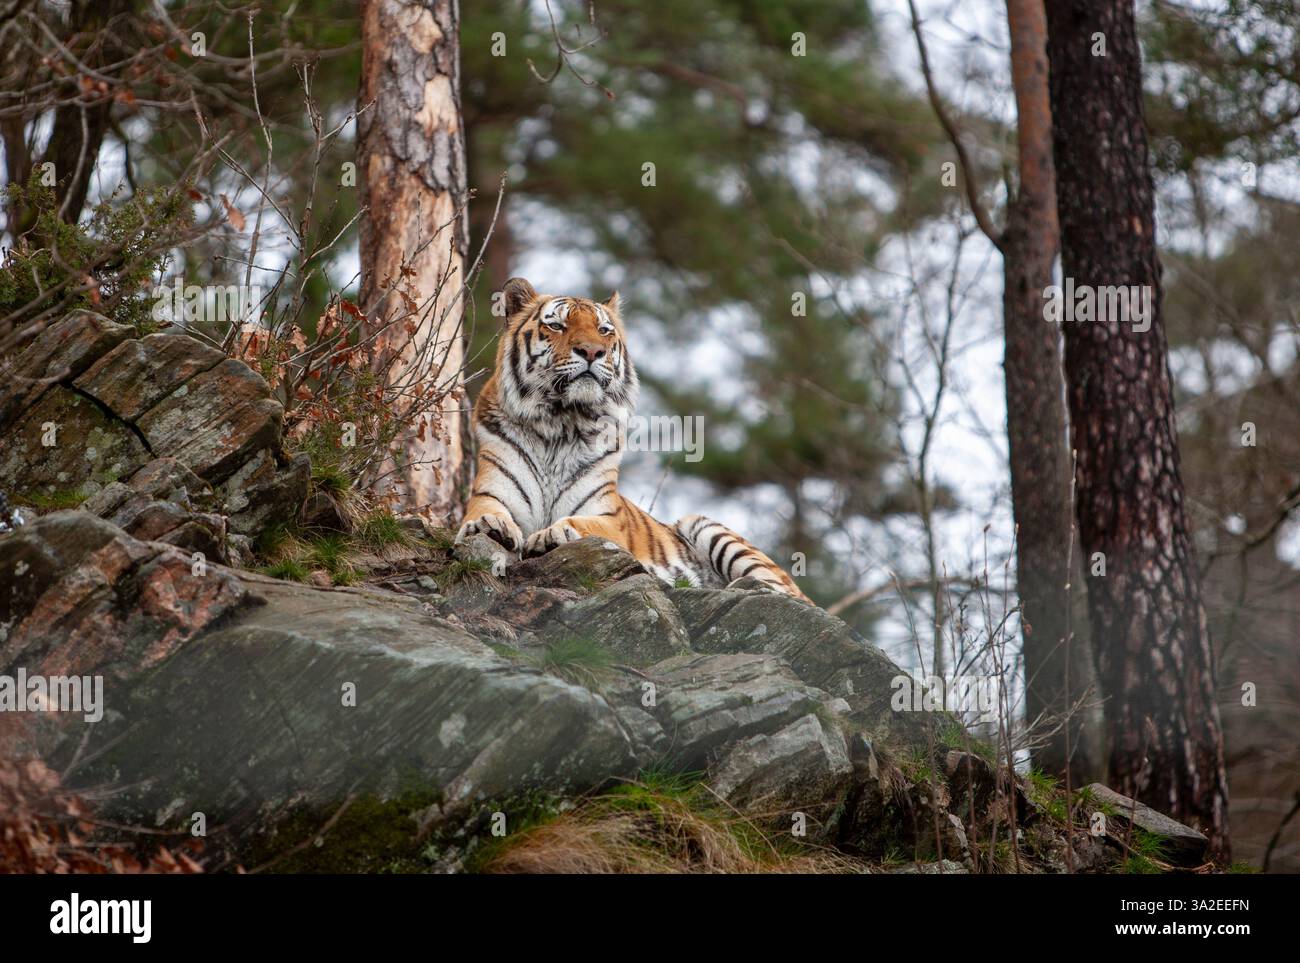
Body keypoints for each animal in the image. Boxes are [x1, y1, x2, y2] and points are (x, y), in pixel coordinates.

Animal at [454, 277, 811, 603]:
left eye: (604, 330)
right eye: (556, 325)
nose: (592, 351)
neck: (561, 422)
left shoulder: (609, 519)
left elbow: (584, 523)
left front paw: (552, 533)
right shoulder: (491, 491)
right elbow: (485, 512)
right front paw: (491, 525)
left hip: (705, 526)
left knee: (784, 592)